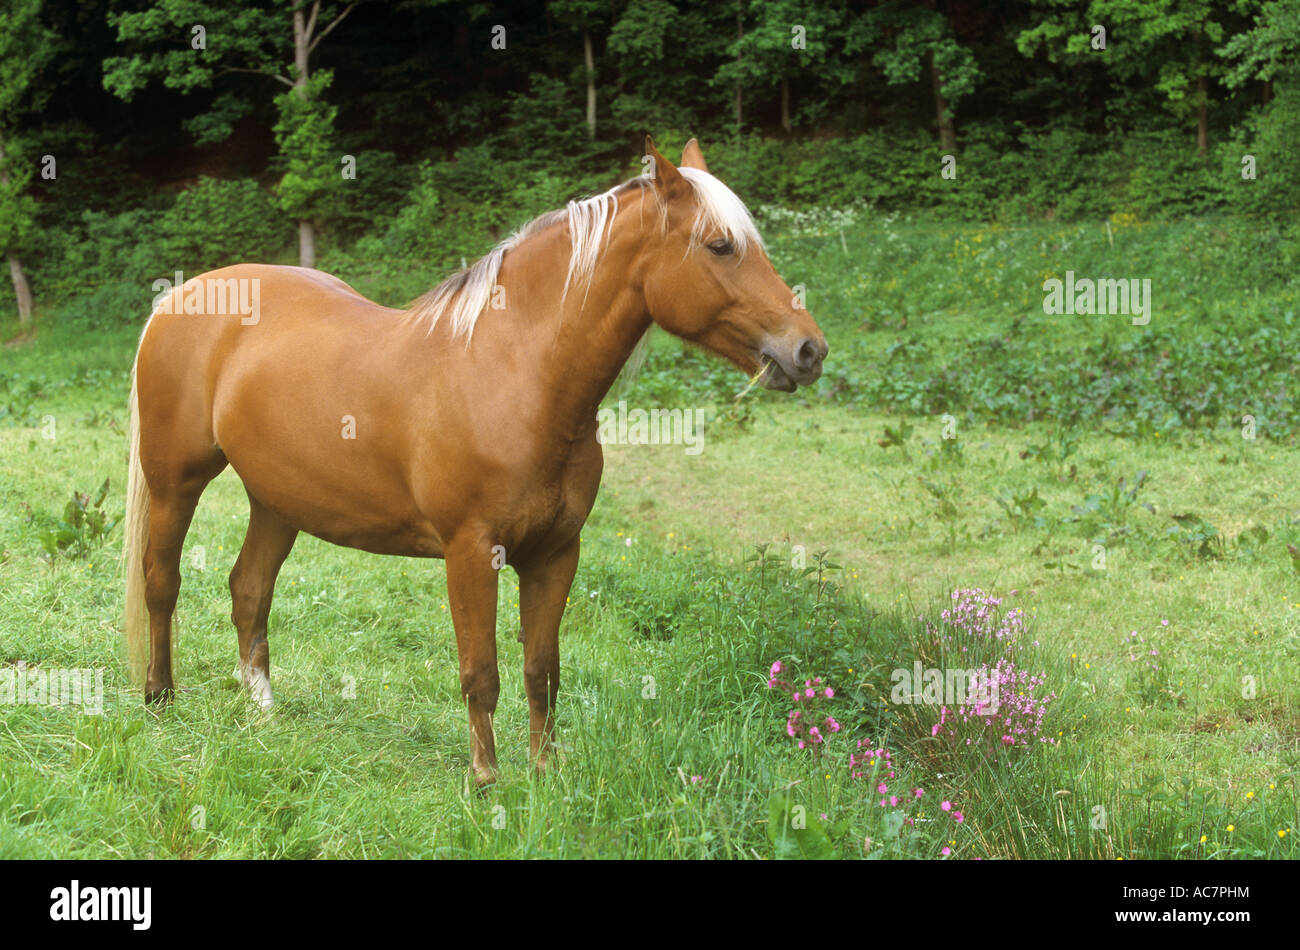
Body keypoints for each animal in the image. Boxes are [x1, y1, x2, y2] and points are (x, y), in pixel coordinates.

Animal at [123, 136, 827, 787]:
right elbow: (480, 672)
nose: (809, 350)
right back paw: (159, 699)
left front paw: (544, 771)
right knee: (162, 581)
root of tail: (182, 296)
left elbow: (542, 670)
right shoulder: (470, 552)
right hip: (176, 483)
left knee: (249, 590)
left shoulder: (555, 554)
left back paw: (264, 712)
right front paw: (486, 779)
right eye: (719, 246)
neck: (513, 372)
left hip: (277, 500)